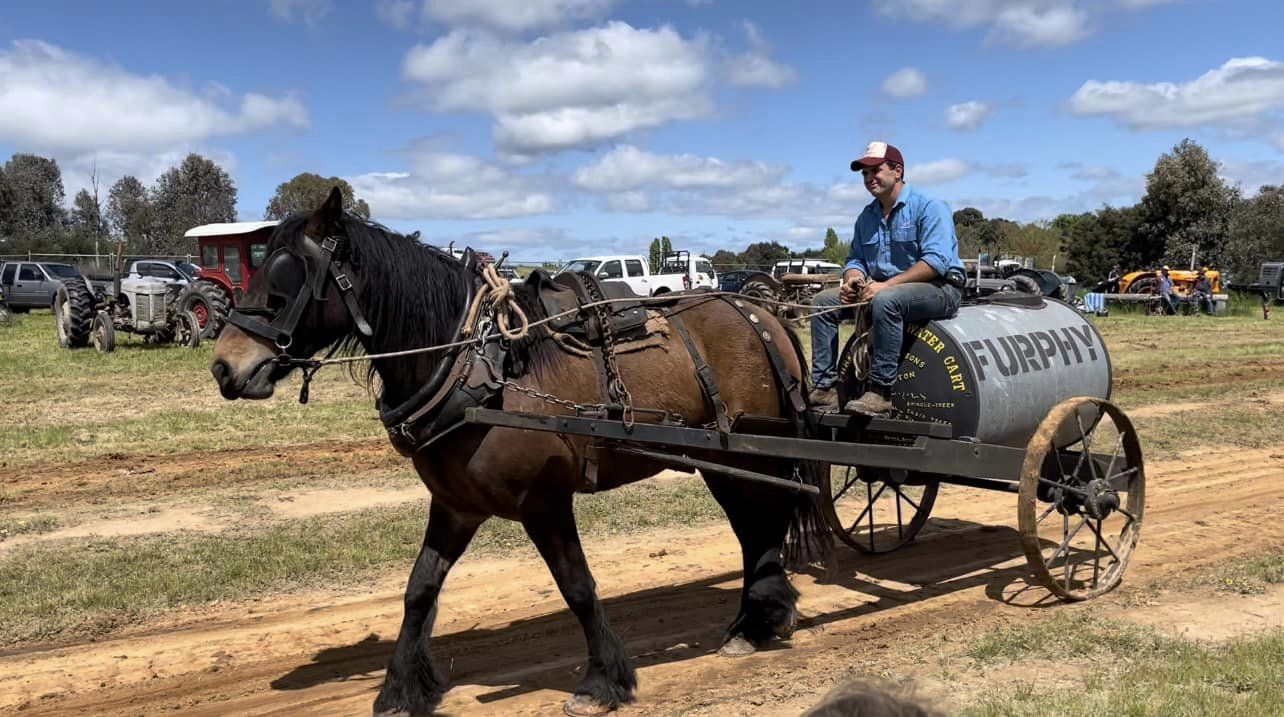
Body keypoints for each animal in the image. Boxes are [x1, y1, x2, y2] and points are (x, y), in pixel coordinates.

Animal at [210, 188, 829, 716]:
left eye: (287, 276)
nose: (223, 366)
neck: (475, 364)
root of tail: (759, 311)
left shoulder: (544, 501)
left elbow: (577, 586)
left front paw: (602, 681)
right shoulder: (456, 504)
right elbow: (419, 591)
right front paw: (400, 689)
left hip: (747, 456)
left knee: (763, 526)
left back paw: (760, 618)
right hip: (722, 460)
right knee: (754, 531)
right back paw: (757, 621)